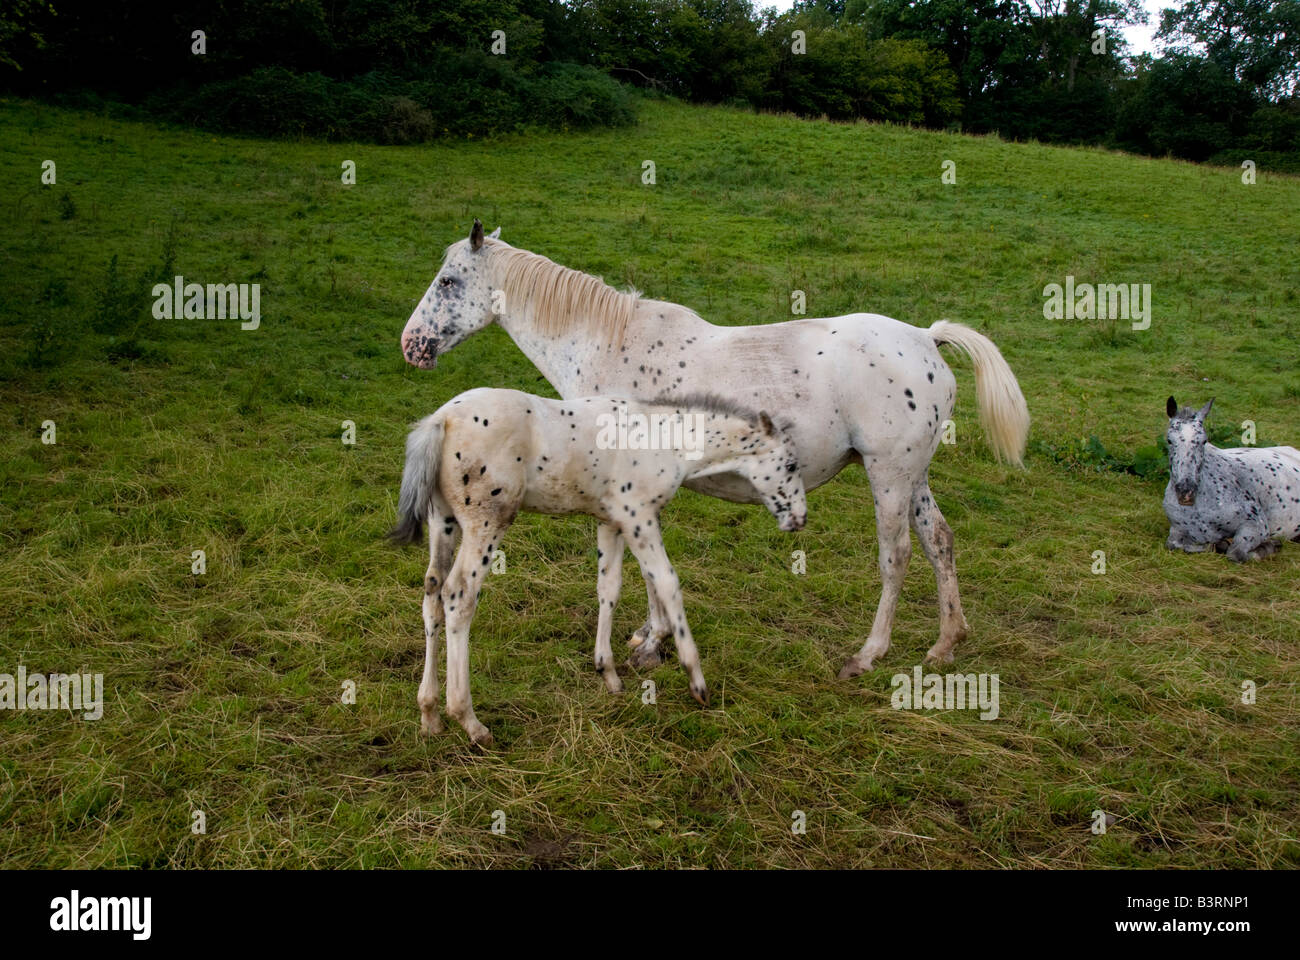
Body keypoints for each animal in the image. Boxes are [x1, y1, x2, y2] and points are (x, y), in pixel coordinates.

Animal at [390, 386, 807, 745]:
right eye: (789, 464)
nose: (799, 519)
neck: (662, 439)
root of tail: (441, 419)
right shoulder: (639, 517)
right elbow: (667, 582)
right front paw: (696, 681)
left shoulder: (612, 521)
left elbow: (610, 587)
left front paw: (608, 672)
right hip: (486, 522)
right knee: (458, 596)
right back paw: (469, 720)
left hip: (442, 520)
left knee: (432, 593)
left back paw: (429, 714)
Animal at [400, 220, 1030, 678]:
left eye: (449, 282)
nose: (412, 345)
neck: (608, 342)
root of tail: (926, 338)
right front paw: (650, 637)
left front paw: (649, 645)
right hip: (913, 477)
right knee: (939, 541)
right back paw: (945, 645)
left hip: (890, 477)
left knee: (896, 555)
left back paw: (868, 654)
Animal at [1164, 396, 1300, 562]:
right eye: (1169, 440)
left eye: (1204, 441)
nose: (1186, 492)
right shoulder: (1177, 531)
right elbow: (1174, 545)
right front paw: (1220, 544)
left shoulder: (1255, 526)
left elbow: (1235, 553)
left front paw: (1269, 546)